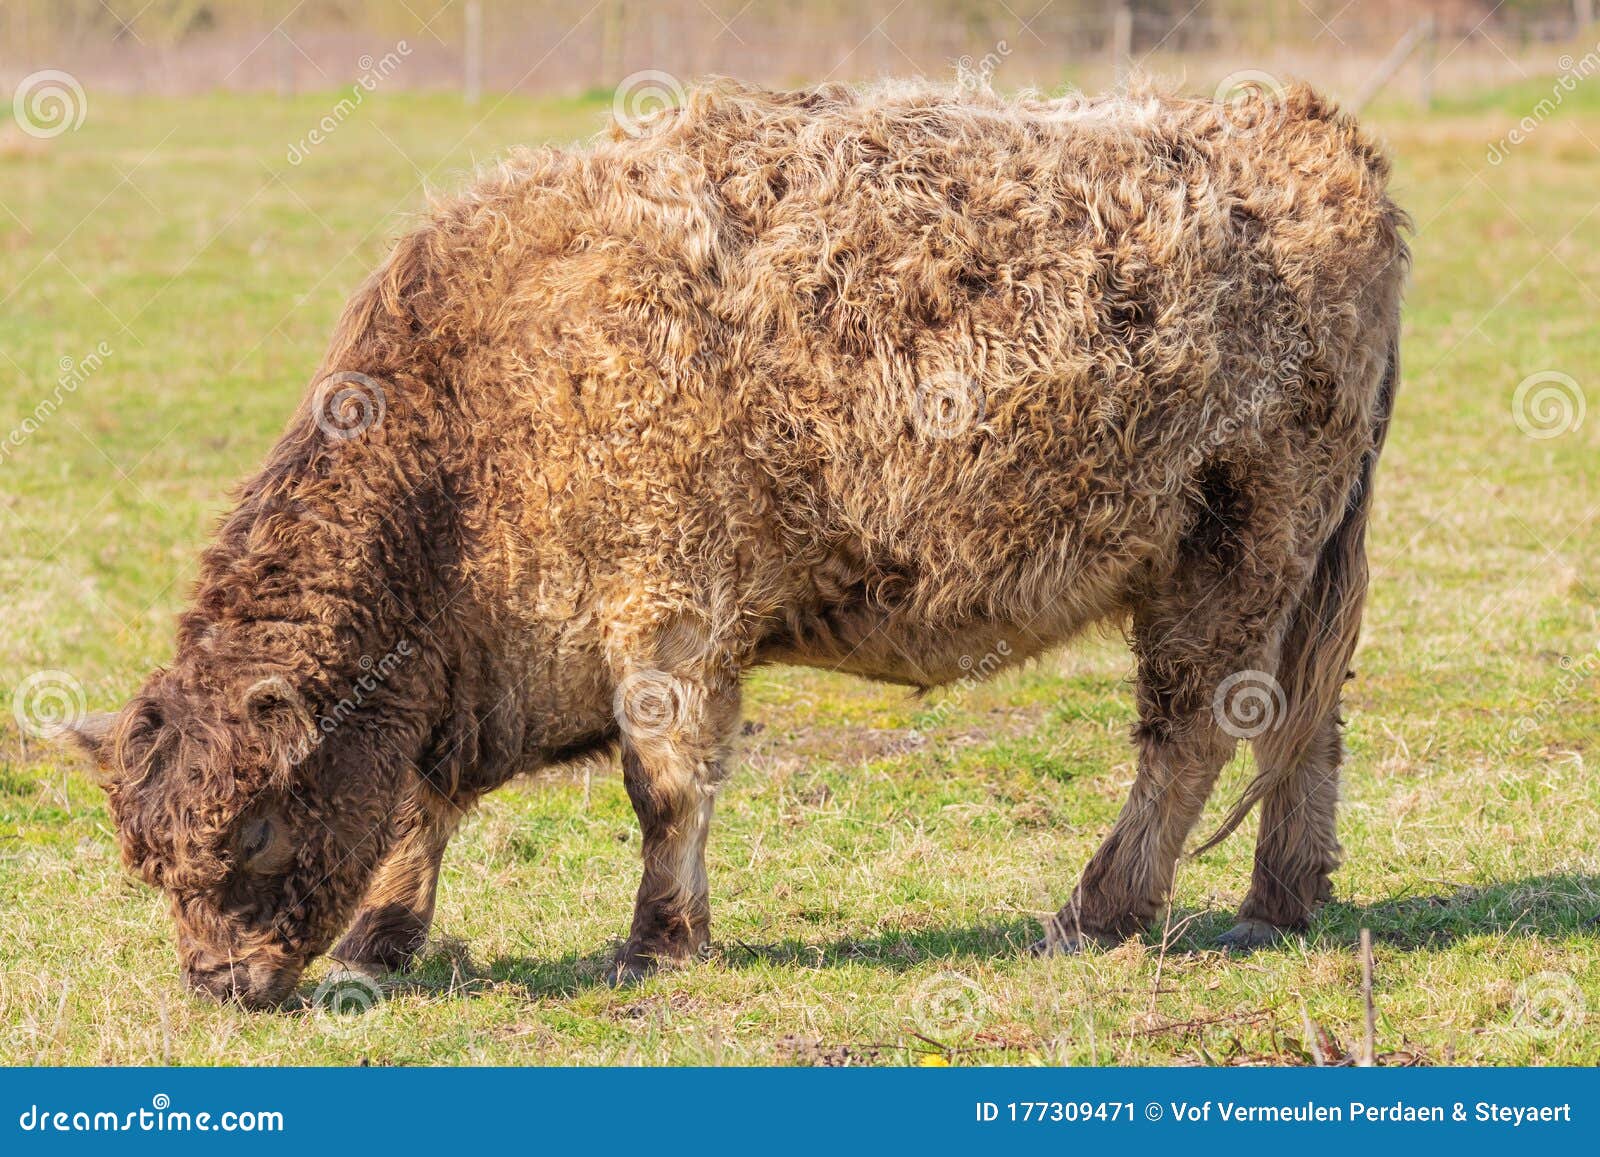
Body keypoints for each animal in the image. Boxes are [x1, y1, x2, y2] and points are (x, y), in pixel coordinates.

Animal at [66, 79, 1408, 1008]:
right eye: (147, 858)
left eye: (251, 830)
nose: (215, 980)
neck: (479, 407)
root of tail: (1309, 130)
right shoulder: (468, 670)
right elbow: (420, 804)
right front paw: (377, 940)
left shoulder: (671, 620)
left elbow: (663, 788)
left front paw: (657, 940)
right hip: (1301, 571)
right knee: (1307, 721)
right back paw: (1276, 902)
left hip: (1229, 556)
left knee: (1194, 733)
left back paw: (1102, 906)